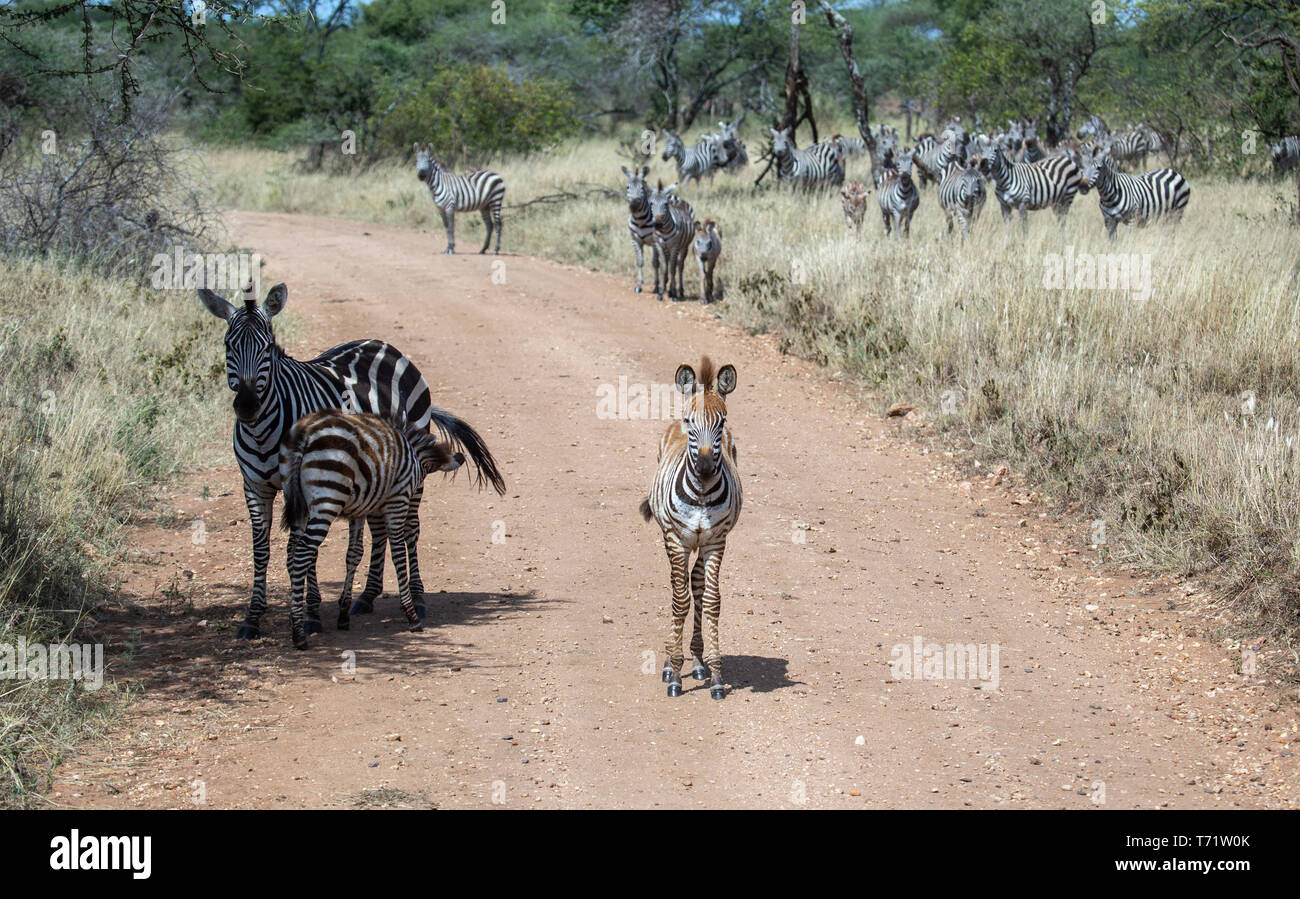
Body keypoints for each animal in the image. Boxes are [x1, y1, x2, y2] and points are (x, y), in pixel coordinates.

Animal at [279, 411, 465, 649]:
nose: (460, 457)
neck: (414, 455)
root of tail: (305, 435)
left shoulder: (358, 510)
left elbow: (353, 555)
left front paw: (344, 614)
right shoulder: (397, 501)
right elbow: (398, 554)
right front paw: (412, 616)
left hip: (299, 502)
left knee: (292, 552)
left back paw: (296, 620)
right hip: (326, 501)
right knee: (303, 553)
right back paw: (298, 635)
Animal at [622, 165, 659, 295]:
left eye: (642, 188)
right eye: (627, 187)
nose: (634, 206)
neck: (640, 220)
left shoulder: (654, 242)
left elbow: (655, 263)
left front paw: (656, 286)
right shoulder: (635, 240)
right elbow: (639, 261)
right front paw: (638, 285)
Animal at [638, 358, 741, 700]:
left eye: (721, 422)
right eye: (689, 421)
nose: (707, 468)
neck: (701, 493)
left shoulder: (716, 541)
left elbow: (710, 601)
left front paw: (717, 676)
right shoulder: (676, 539)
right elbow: (679, 601)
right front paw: (673, 673)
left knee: (694, 584)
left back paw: (696, 662)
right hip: (674, 539)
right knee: (678, 587)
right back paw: (672, 661)